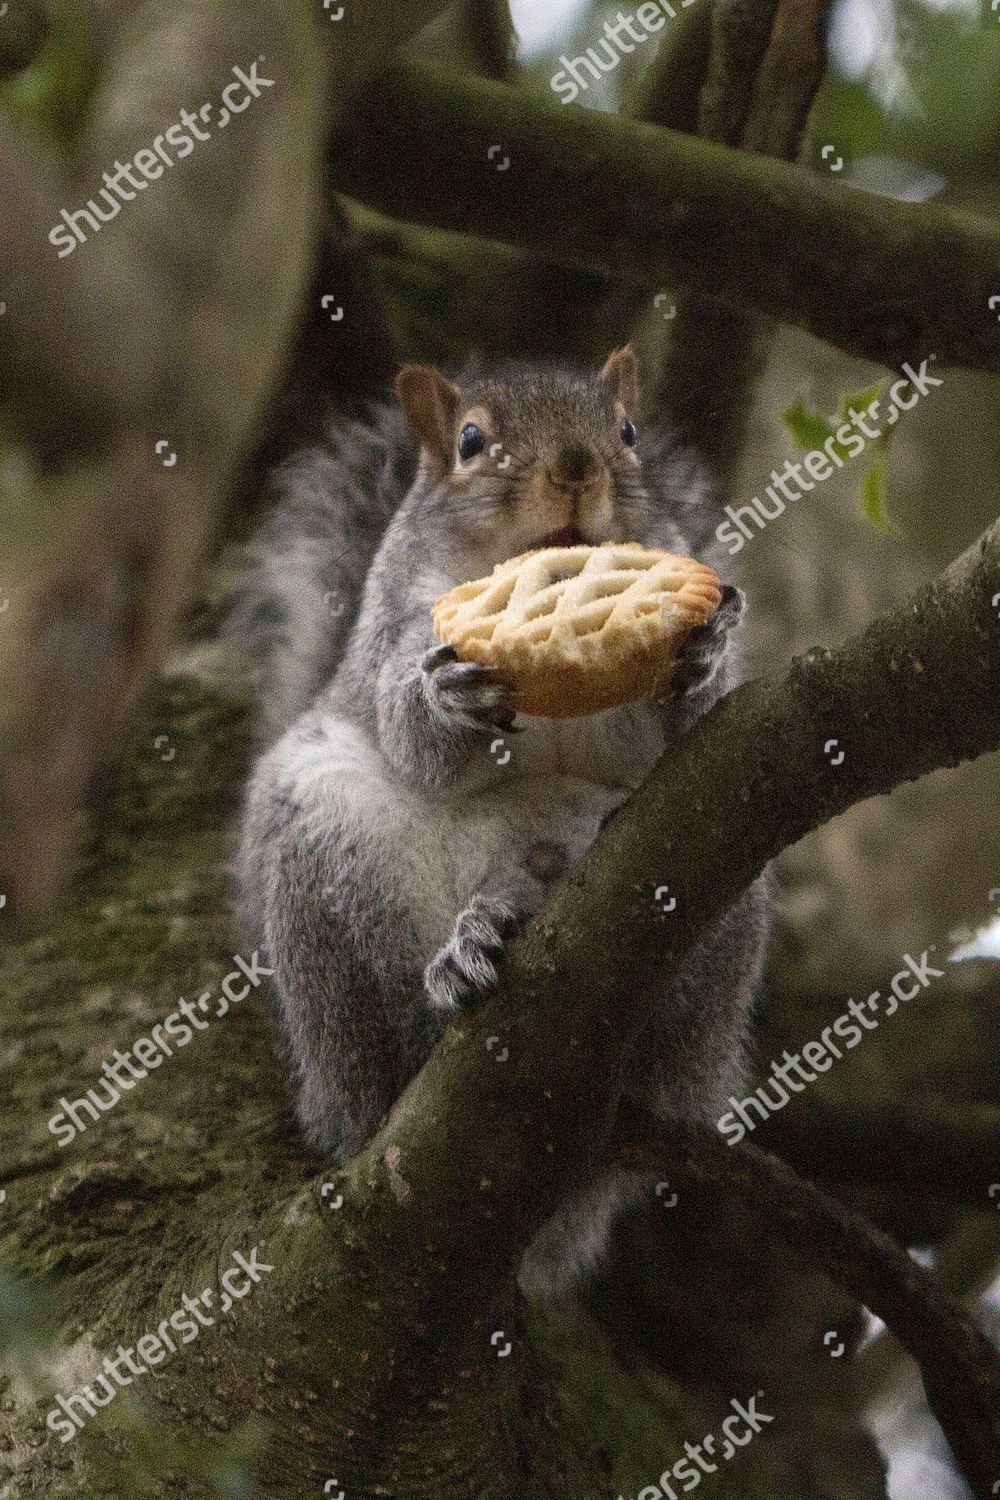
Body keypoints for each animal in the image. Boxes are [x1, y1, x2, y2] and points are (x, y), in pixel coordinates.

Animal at [235, 347, 769, 1297]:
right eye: (472, 443)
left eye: (627, 432)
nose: (579, 468)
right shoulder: (393, 628)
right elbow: (412, 733)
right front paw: (445, 700)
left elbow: (680, 726)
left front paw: (706, 649)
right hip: (326, 871)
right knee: (388, 1053)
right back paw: (461, 964)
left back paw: (521, 914)